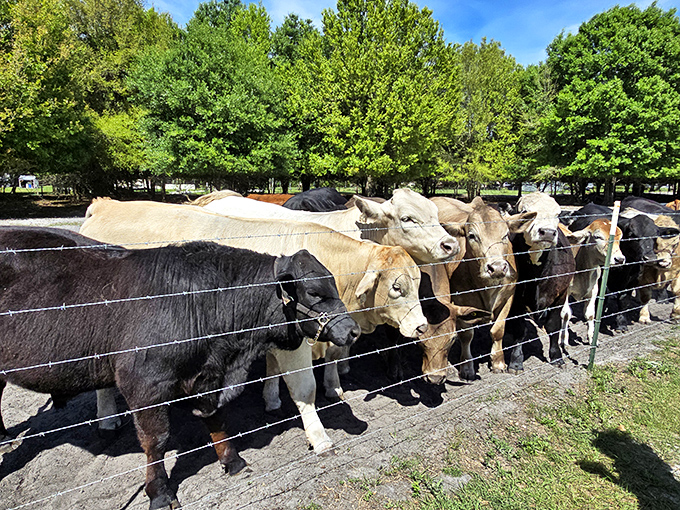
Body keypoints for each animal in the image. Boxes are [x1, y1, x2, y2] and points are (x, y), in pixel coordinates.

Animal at [0, 226, 359, 510]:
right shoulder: (143, 383)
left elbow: (216, 419)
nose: (353, 330)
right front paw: (159, 493)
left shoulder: (207, 377)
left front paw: (232, 461)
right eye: (313, 292)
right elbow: (155, 441)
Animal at [80, 198, 427, 454]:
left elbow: (273, 369)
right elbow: (305, 387)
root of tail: (105, 204)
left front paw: (271, 399)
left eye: (418, 281)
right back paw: (107, 418)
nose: (422, 327)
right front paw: (319, 437)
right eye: (396, 287)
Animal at [431, 196, 536, 376]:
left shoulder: (508, 297)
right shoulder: (460, 301)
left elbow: (498, 330)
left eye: (506, 234)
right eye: (472, 236)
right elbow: (466, 335)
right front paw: (467, 367)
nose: (497, 268)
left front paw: (498, 362)